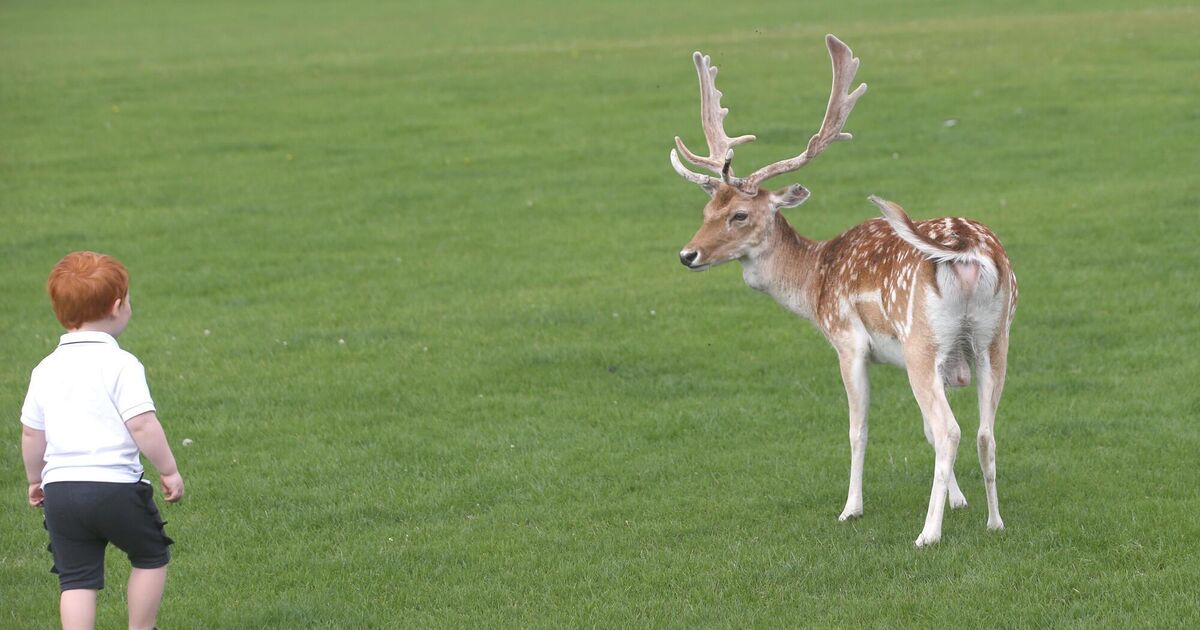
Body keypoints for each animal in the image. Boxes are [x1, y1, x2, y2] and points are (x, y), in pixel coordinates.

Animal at [669, 35, 1017, 546]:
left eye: (740, 215)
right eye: (707, 209)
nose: (687, 254)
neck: (815, 278)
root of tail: (968, 251)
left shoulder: (848, 340)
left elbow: (859, 429)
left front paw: (851, 508)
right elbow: (926, 432)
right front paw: (960, 501)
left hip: (923, 339)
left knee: (952, 430)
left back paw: (927, 535)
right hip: (994, 339)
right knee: (984, 431)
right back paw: (995, 522)